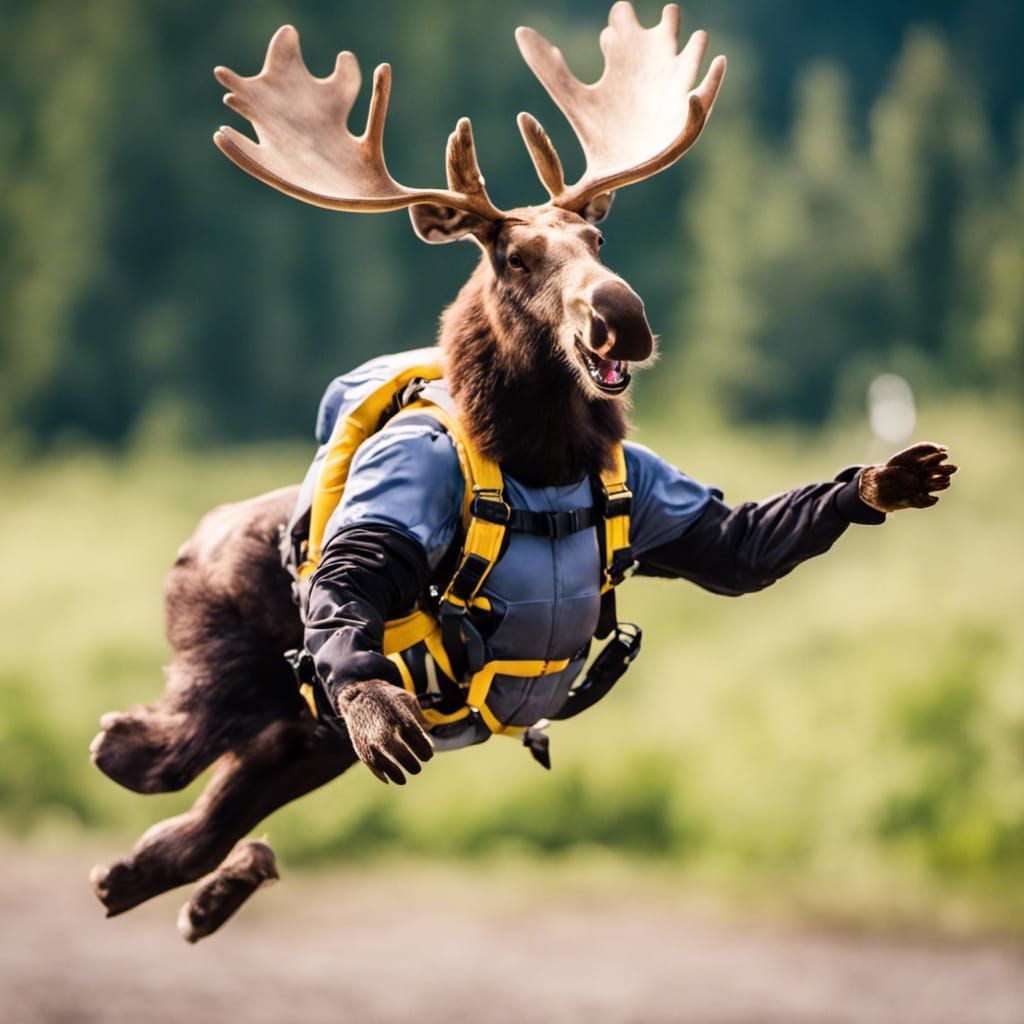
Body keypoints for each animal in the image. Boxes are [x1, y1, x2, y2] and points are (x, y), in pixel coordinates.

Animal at [88, 3, 956, 943]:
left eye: (598, 237)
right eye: (514, 257)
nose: (622, 316)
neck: (543, 462)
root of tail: (196, 535)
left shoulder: (661, 494)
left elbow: (739, 541)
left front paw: (887, 480)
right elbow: (356, 574)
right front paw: (376, 705)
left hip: (304, 741)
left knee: (200, 823)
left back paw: (179, 884)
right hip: (234, 661)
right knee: (165, 751)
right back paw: (129, 754)